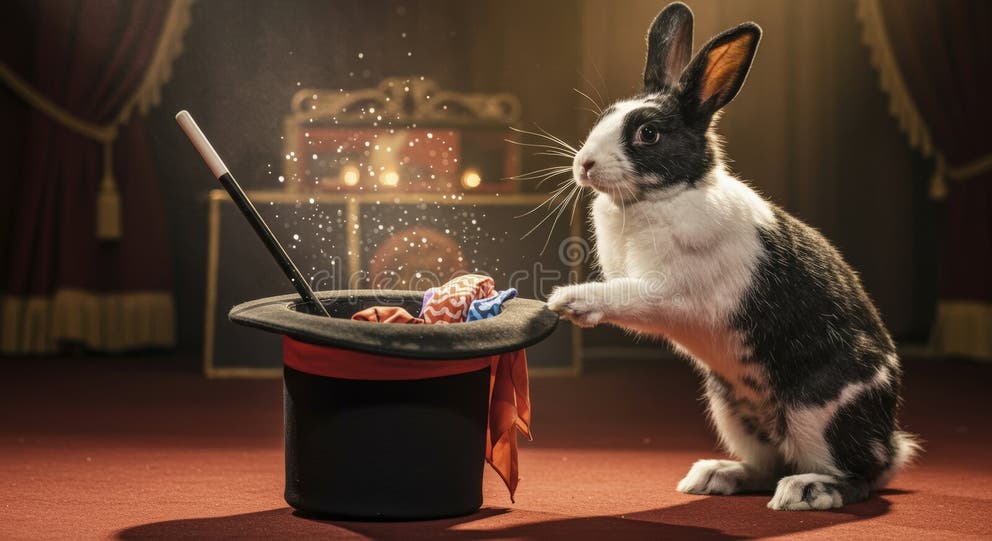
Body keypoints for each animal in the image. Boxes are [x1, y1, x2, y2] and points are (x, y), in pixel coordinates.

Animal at [546, 2, 919, 510]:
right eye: (604, 118)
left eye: (648, 134)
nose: (583, 164)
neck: (662, 196)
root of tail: (890, 441)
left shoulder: (671, 292)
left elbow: (626, 297)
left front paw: (569, 301)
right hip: (730, 409)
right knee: (769, 465)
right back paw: (714, 475)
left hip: (817, 412)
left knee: (856, 478)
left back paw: (807, 491)